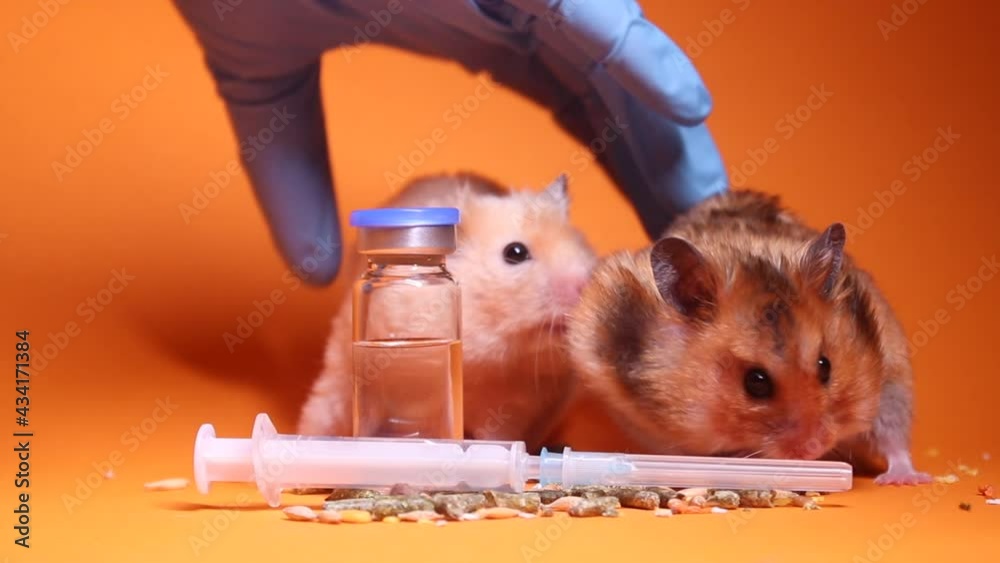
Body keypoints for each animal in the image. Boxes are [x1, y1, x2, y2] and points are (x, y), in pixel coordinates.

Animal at [567, 189, 931, 485]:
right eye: (755, 383)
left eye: (825, 366)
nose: (814, 448)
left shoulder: (889, 369)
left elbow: (892, 435)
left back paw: (904, 479)